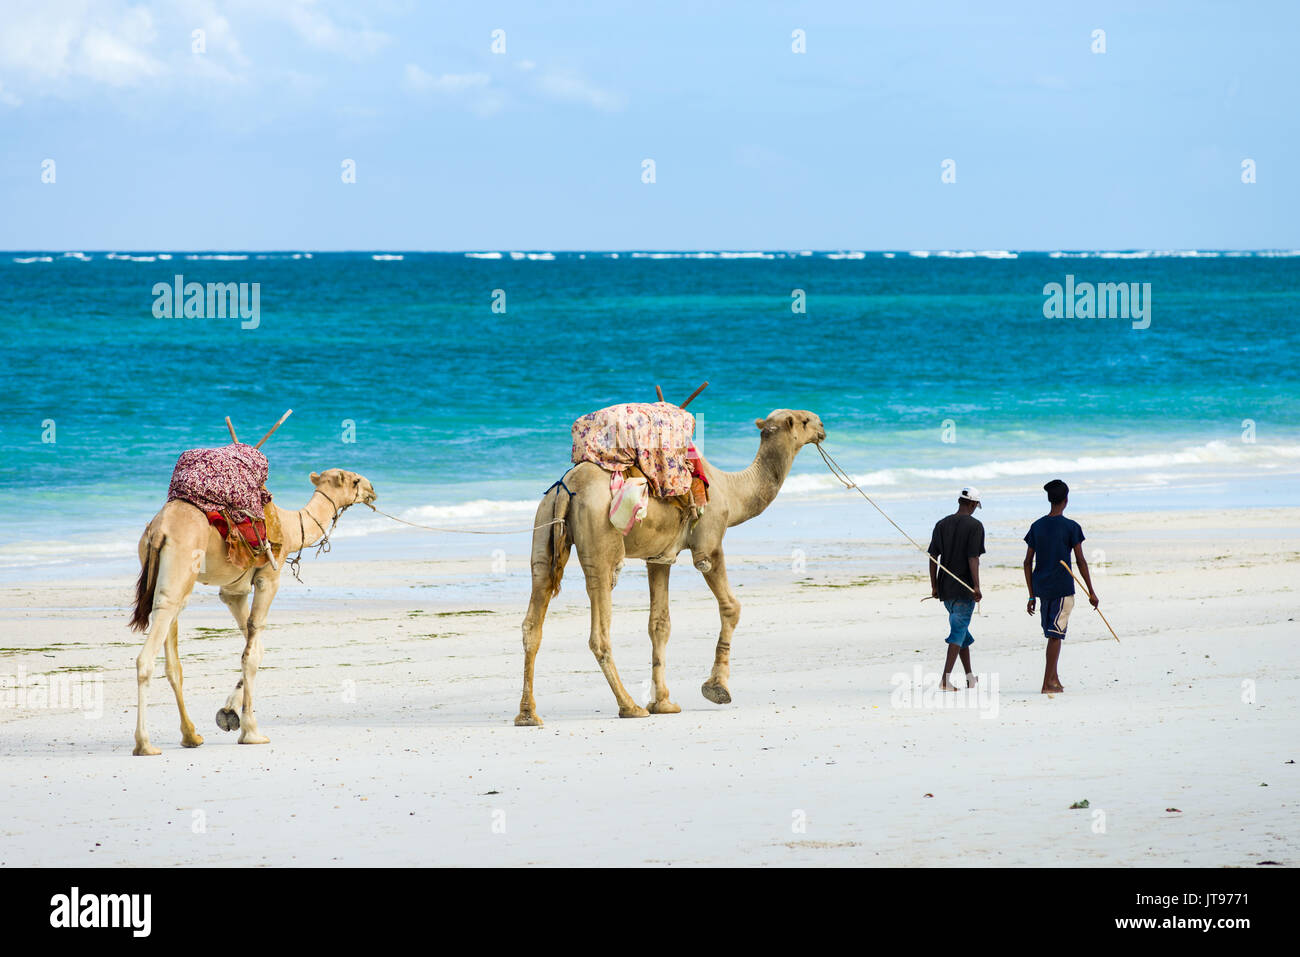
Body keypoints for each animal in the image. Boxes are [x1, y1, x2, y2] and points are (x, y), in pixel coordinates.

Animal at [128, 468, 376, 755]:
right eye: (355, 480)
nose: (372, 489)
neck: (291, 527)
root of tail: (158, 531)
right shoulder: (268, 577)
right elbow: (251, 653)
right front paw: (251, 731)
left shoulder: (233, 593)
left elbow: (255, 646)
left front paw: (229, 712)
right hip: (181, 565)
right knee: (148, 652)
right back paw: (145, 744)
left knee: (172, 657)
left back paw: (191, 735)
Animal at [515, 408, 825, 726]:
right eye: (803, 421)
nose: (822, 426)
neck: (731, 491)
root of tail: (569, 489)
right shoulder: (708, 546)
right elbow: (731, 606)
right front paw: (717, 688)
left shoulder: (659, 558)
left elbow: (659, 624)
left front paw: (663, 702)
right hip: (599, 541)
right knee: (599, 630)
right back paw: (629, 706)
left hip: (543, 526)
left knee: (532, 623)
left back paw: (528, 714)